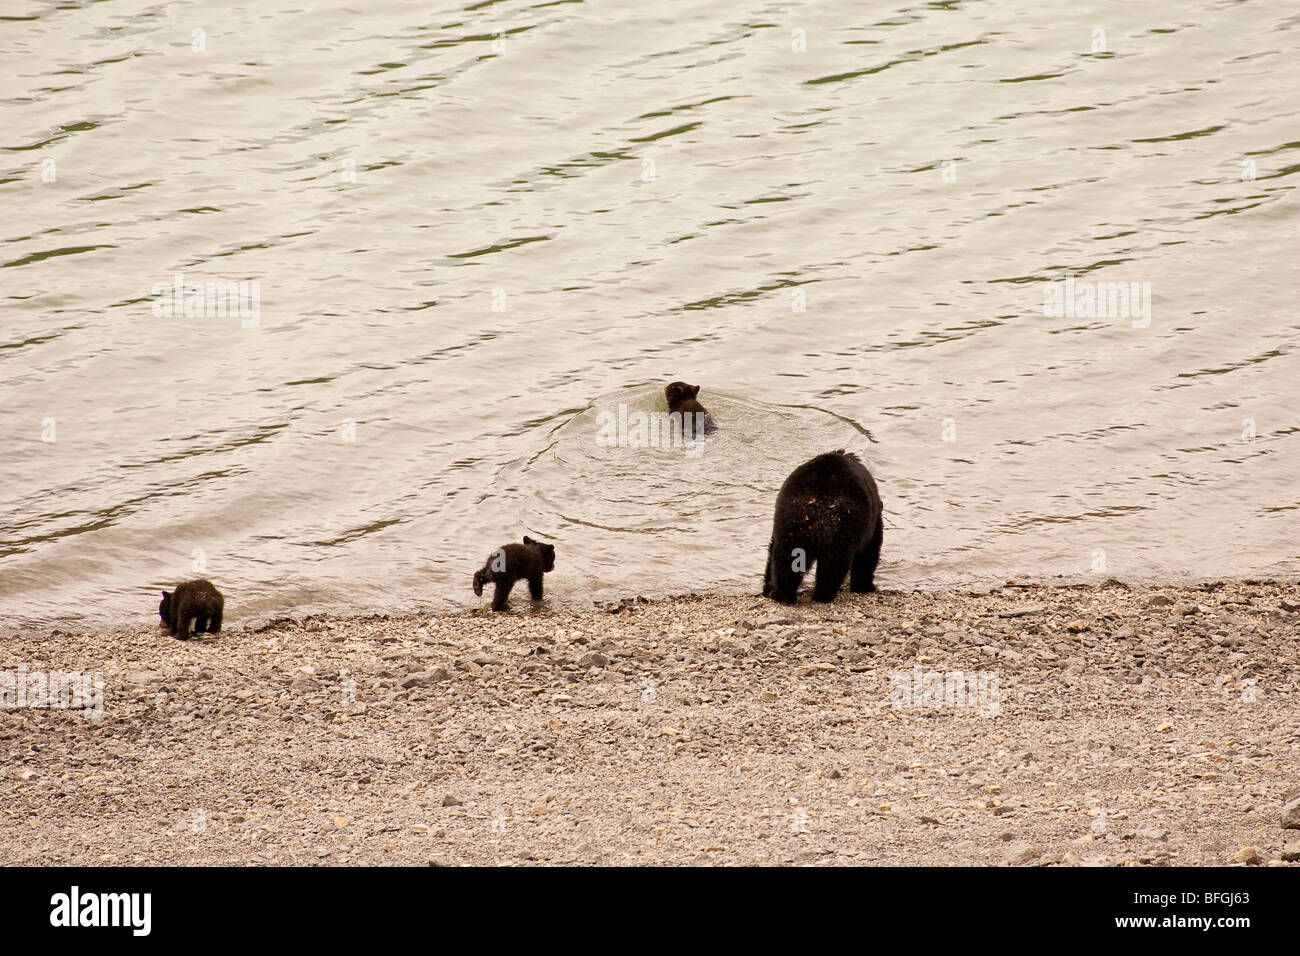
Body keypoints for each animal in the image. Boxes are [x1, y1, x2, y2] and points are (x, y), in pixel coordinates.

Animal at [762, 450, 882, 604]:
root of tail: (819, 505)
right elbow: (868, 553)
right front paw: (864, 587)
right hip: (842, 530)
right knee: (833, 566)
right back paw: (823, 595)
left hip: (791, 522)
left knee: (786, 559)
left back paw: (783, 595)